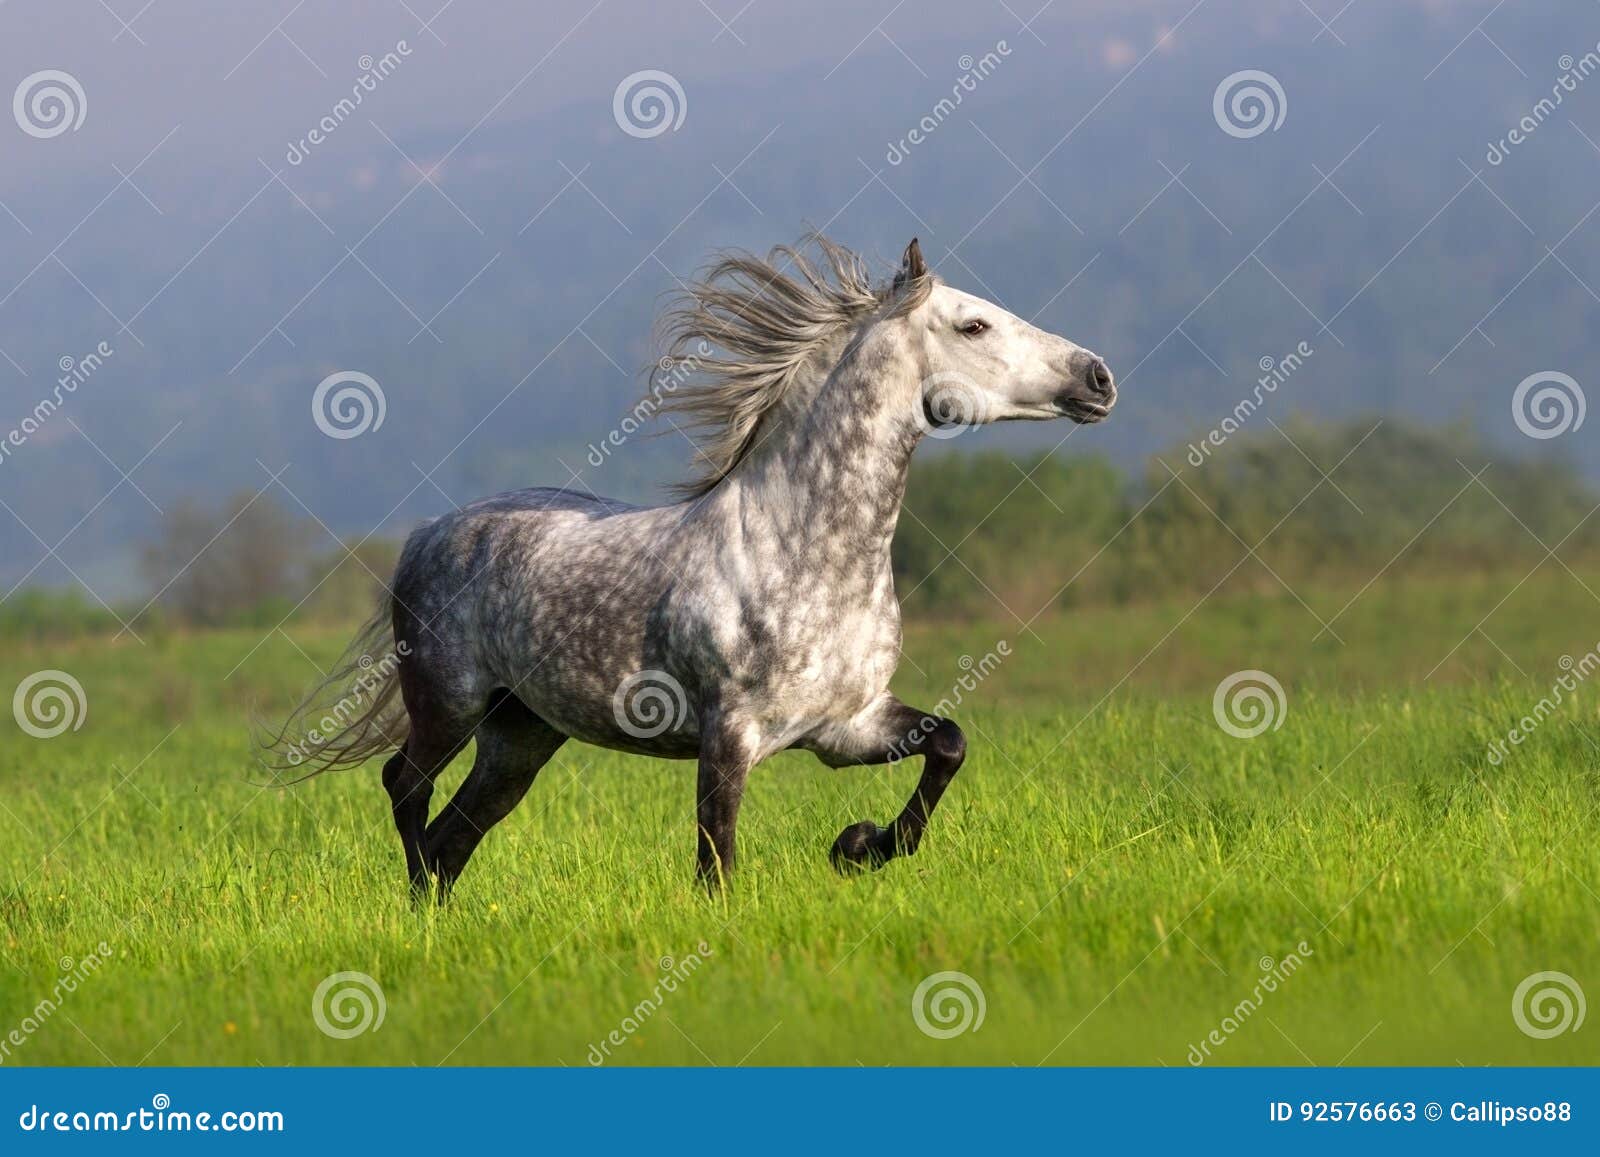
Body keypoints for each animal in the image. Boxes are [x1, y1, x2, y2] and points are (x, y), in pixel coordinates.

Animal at [270, 235, 1116, 898]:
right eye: (973, 323)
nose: (1098, 377)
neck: (805, 554)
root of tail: (428, 534)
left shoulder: (846, 724)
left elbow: (949, 744)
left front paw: (859, 845)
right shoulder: (728, 733)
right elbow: (716, 862)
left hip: (521, 736)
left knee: (454, 834)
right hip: (450, 703)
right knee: (406, 789)